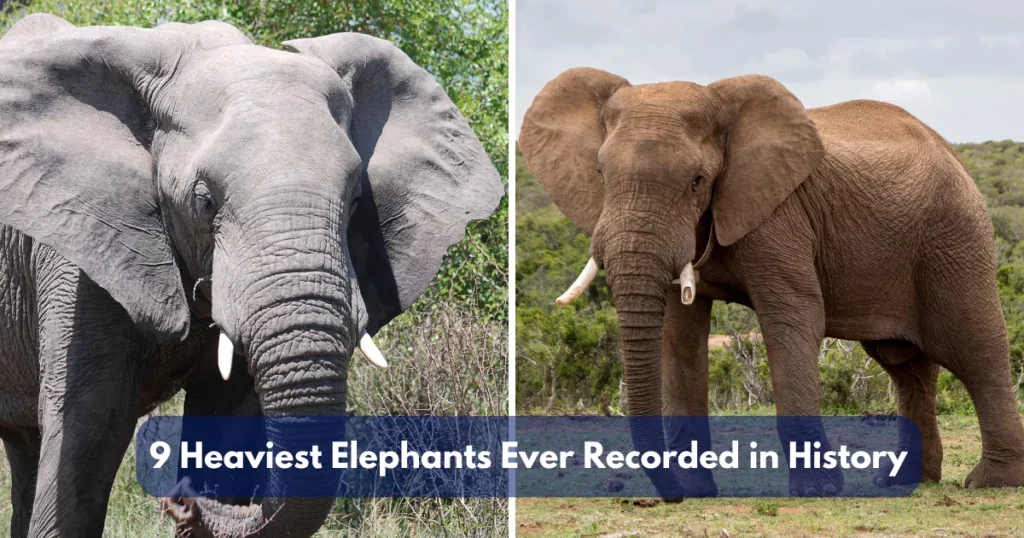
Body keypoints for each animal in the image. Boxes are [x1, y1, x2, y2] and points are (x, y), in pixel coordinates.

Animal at [0, 14, 503, 537]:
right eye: (204, 201)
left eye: (356, 202)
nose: (178, 499)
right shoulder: (77, 252)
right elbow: (90, 430)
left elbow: (227, 424)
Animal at [519, 67, 1024, 498]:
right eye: (601, 174)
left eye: (698, 181)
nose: (670, 496)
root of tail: (953, 154)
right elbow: (679, 335)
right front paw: (697, 491)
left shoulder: (780, 214)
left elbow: (793, 319)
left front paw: (817, 492)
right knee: (906, 366)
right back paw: (902, 481)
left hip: (954, 237)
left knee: (975, 350)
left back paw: (991, 482)